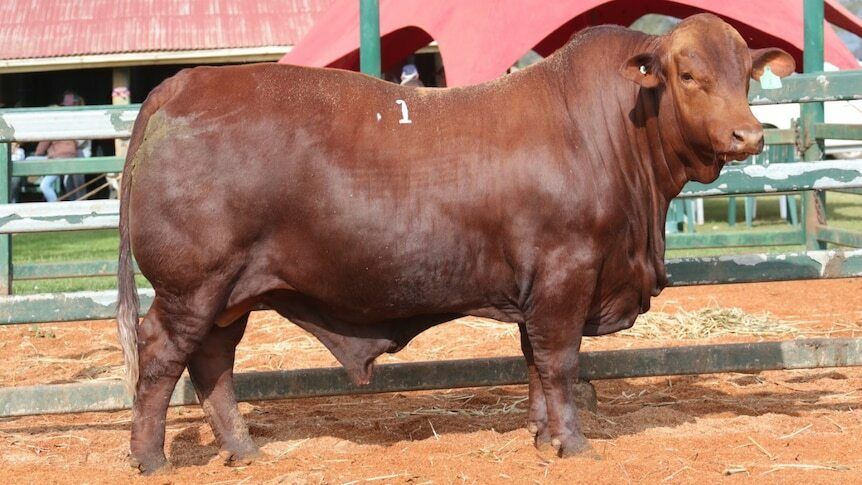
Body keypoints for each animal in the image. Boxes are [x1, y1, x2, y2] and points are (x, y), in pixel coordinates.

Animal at [116, 13, 794, 473]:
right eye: (689, 74)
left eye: (746, 76)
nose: (749, 135)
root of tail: (180, 86)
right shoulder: (565, 271)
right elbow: (560, 361)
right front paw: (574, 444)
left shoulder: (534, 289)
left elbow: (533, 363)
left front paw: (543, 437)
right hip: (192, 285)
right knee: (161, 357)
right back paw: (150, 458)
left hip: (231, 292)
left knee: (213, 362)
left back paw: (243, 449)